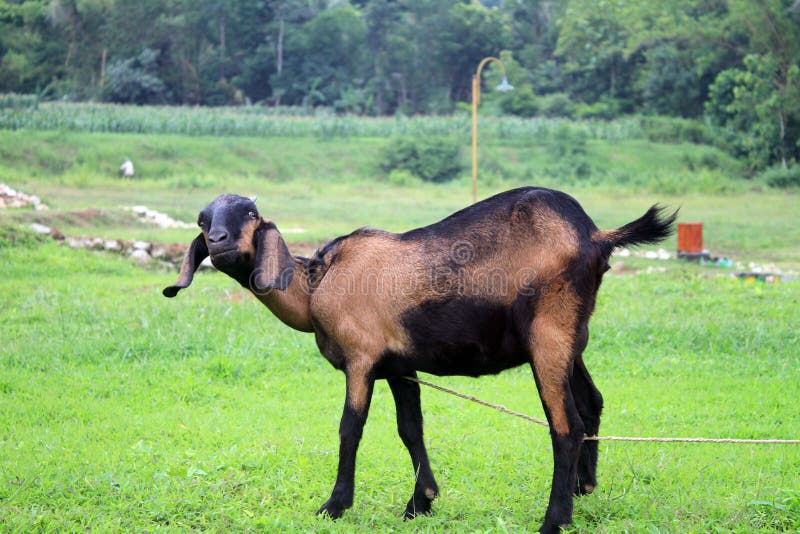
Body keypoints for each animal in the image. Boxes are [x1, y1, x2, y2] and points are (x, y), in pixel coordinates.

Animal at [163, 187, 676, 532]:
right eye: (202, 220)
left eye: (249, 213)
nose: (220, 239)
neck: (316, 284)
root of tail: (594, 235)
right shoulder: (399, 365)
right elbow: (411, 428)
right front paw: (421, 502)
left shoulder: (362, 358)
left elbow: (350, 429)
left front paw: (334, 506)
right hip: (573, 337)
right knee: (591, 402)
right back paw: (583, 489)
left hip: (549, 334)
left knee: (565, 424)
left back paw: (555, 519)